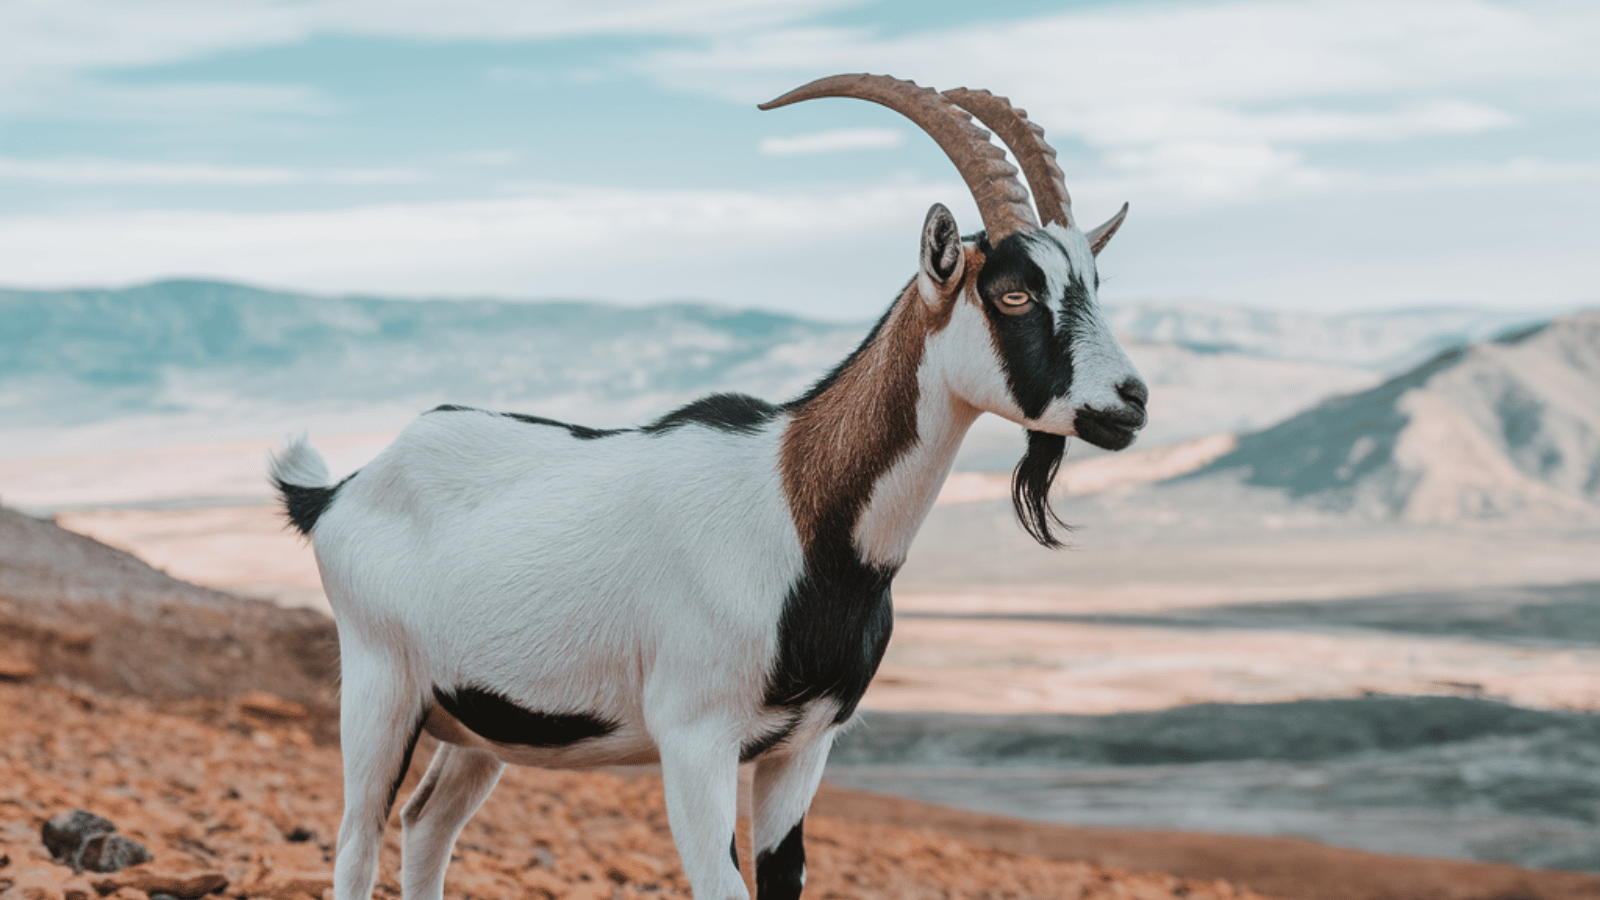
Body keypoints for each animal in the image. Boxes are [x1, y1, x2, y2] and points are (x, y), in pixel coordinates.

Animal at [270, 74, 1148, 900]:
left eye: (1092, 285)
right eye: (1013, 292)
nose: (1132, 401)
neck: (803, 516)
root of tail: (341, 490)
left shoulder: (804, 745)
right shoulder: (695, 738)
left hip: (486, 722)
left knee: (426, 827)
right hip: (381, 688)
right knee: (357, 842)